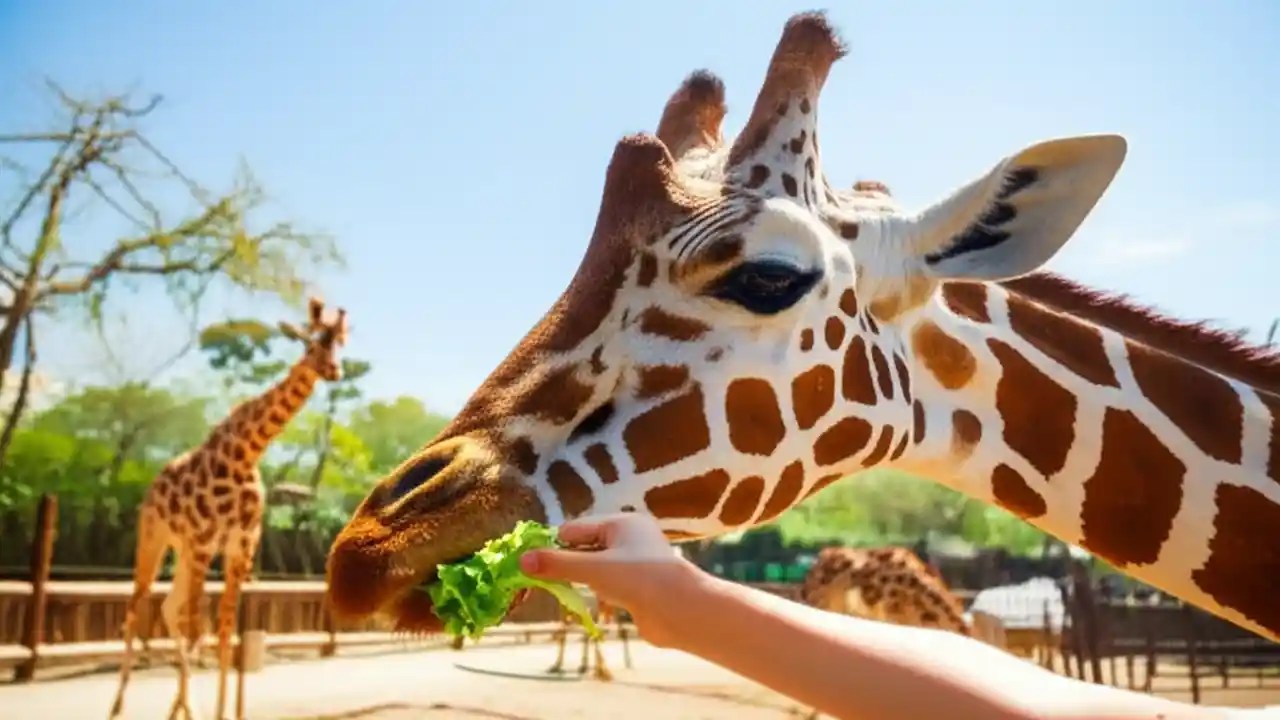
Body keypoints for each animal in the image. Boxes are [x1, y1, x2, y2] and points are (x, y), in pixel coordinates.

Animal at [110, 298, 349, 720]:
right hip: (156, 537)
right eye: (311, 345)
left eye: (339, 343)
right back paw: (119, 706)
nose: (335, 371)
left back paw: (179, 706)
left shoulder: (241, 545)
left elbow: (223, 629)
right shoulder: (208, 541)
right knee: (139, 606)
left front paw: (216, 712)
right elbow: (200, 629)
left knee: (170, 607)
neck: (247, 450)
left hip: (184, 549)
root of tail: (153, 486)